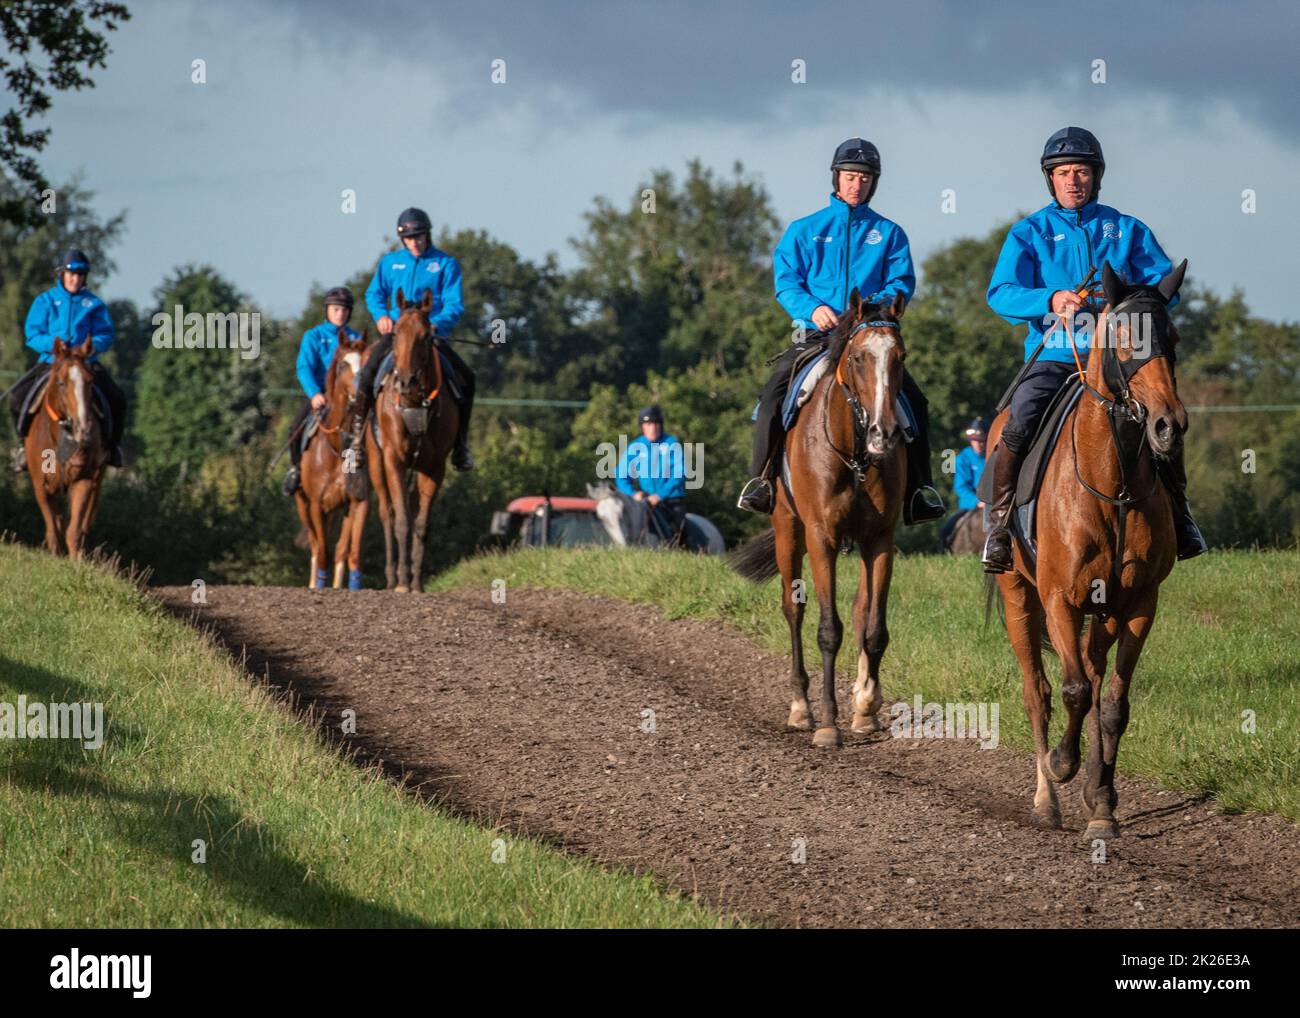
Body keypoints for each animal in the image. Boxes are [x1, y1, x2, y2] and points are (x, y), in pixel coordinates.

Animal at [22, 337, 110, 559]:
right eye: (61, 383)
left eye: (90, 382)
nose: (82, 428)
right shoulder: (41, 486)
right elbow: (53, 530)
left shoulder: (83, 481)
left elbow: (74, 531)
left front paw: (76, 562)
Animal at [293, 330, 373, 589]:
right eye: (342, 364)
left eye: (367, 362)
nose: (360, 394)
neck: (339, 450)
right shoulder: (316, 506)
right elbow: (323, 551)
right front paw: (320, 584)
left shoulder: (357, 502)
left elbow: (347, 551)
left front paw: (347, 588)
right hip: (303, 505)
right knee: (315, 546)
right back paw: (313, 583)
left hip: (335, 510)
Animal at [371, 289, 459, 592]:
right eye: (396, 332)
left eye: (426, 336)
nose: (406, 382)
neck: (414, 405)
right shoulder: (394, 460)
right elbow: (401, 522)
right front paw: (401, 583)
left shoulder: (434, 467)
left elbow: (421, 524)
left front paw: (416, 582)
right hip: (376, 464)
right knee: (387, 514)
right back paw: (391, 577)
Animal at [730, 290, 909, 748]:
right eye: (859, 358)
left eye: (900, 357)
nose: (884, 432)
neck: (855, 453)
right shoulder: (820, 537)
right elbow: (828, 630)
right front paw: (828, 722)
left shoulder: (880, 539)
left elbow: (874, 629)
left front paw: (866, 710)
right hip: (786, 531)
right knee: (793, 610)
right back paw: (801, 707)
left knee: (861, 609)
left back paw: (862, 704)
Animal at [986, 260, 1188, 839]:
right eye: (1122, 336)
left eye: (1173, 337)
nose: (1169, 425)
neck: (1111, 485)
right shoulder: (1059, 599)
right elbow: (1072, 691)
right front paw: (1062, 764)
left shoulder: (1139, 604)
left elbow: (1114, 703)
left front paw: (1102, 803)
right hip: (1018, 595)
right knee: (1038, 690)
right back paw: (1047, 797)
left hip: (1104, 613)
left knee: (1095, 680)